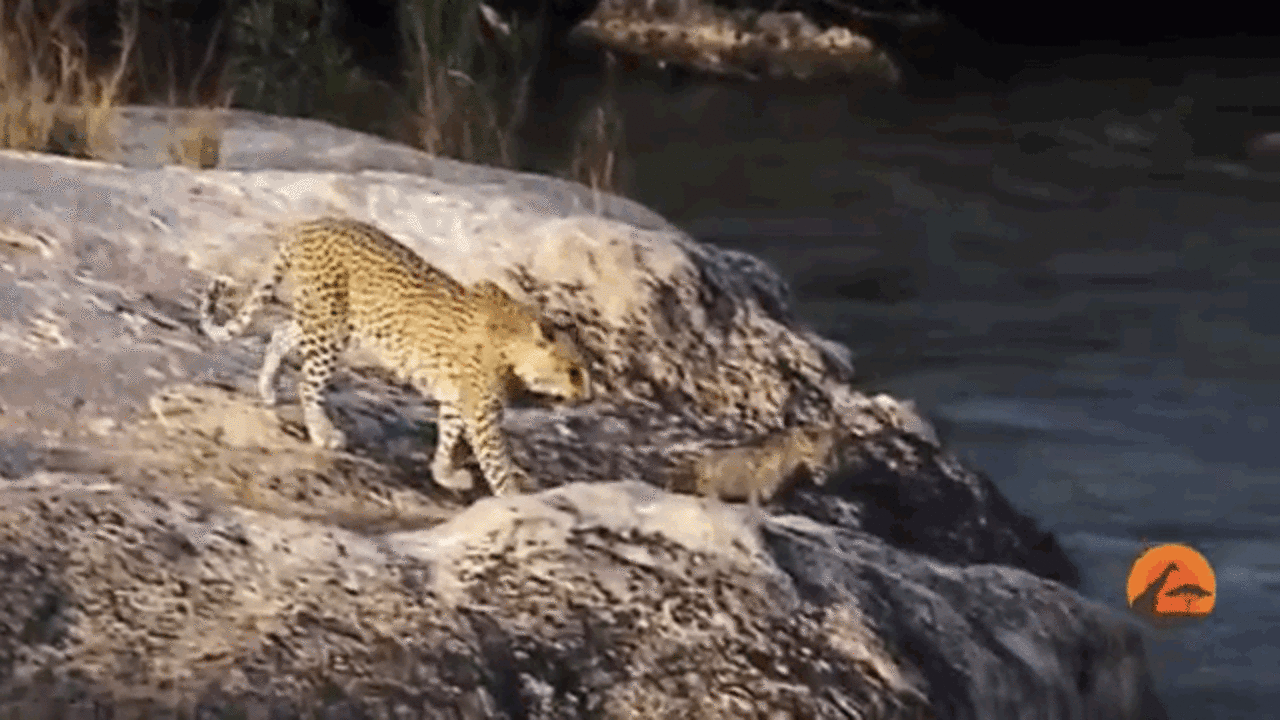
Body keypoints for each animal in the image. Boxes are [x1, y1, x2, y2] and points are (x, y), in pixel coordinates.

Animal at [199, 216, 590, 497]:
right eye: (573, 372)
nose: (587, 396)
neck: (516, 344)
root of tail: (311, 223)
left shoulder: (456, 400)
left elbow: (448, 439)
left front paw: (445, 475)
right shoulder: (481, 411)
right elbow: (496, 461)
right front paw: (515, 499)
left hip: (324, 321)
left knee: (280, 333)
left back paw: (267, 389)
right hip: (329, 330)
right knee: (308, 385)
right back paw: (323, 433)